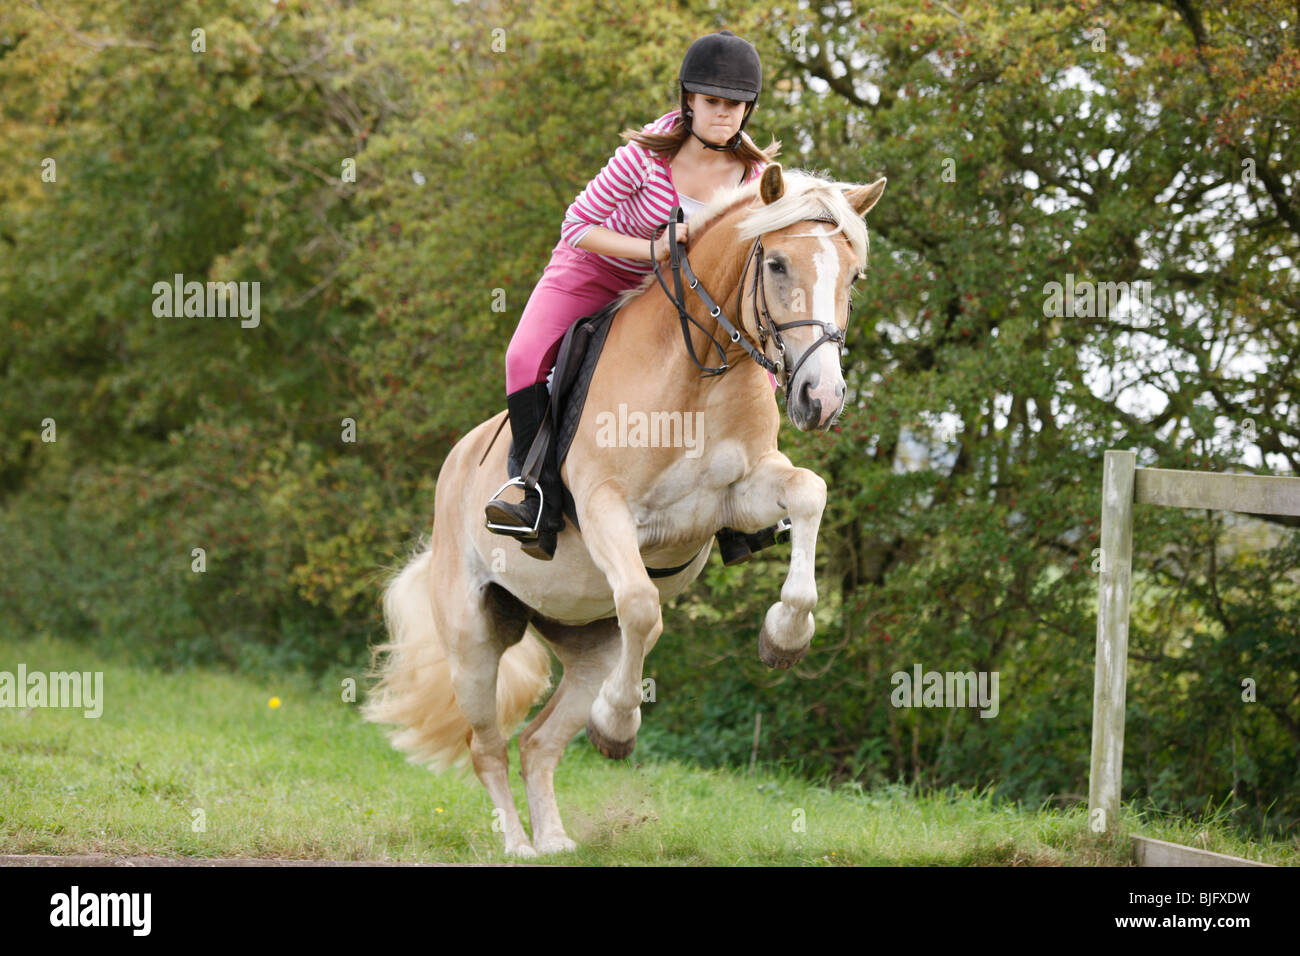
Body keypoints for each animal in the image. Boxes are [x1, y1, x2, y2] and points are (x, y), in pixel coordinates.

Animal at [363, 164, 886, 856]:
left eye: (852, 276)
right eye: (776, 263)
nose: (820, 397)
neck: (700, 372)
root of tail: (457, 461)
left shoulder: (741, 493)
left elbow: (809, 492)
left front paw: (785, 636)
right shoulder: (606, 507)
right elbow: (642, 604)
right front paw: (618, 724)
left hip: (588, 642)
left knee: (539, 742)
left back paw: (555, 840)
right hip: (472, 638)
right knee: (487, 747)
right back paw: (518, 843)